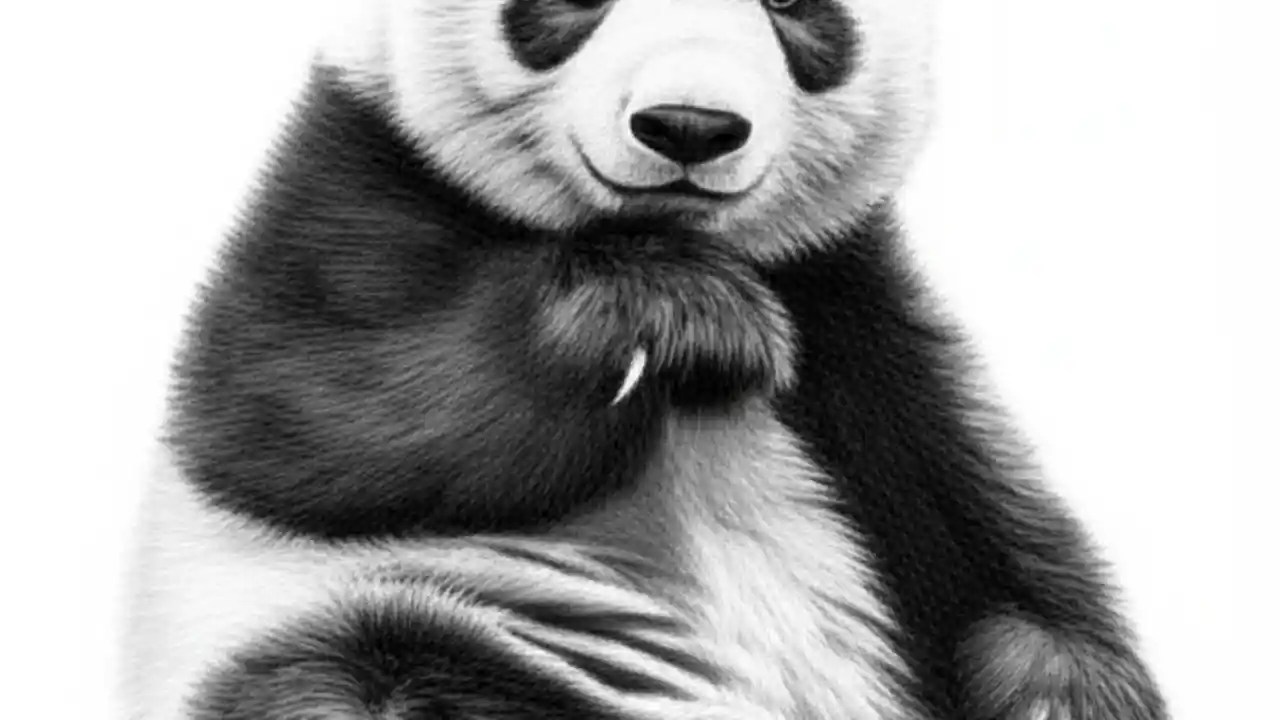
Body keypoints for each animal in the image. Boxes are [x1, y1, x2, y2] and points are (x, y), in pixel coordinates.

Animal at [120, 1, 1169, 719]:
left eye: (793, 3)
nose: (690, 127)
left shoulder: (851, 306)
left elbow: (985, 523)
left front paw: (1064, 691)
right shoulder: (351, 185)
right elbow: (301, 417)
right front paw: (675, 316)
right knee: (356, 677)